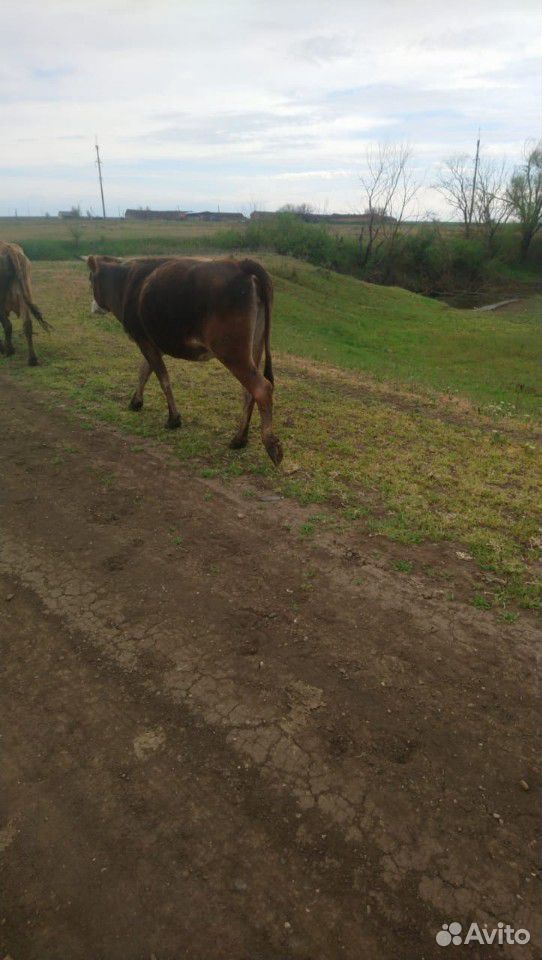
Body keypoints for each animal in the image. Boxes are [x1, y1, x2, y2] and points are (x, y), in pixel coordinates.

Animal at [84, 255, 283, 465]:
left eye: (90, 279)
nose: (93, 307)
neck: (125, 282)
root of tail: (241, 264)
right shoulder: (153, 342)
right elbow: (144, 372)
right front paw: (136, 402)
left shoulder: (143, 339)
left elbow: (162, 379)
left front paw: (173, 419)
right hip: (254, 347)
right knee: (248, 392)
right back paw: (240, 438)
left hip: (232, 351)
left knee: (261, 388)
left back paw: (271, 446)